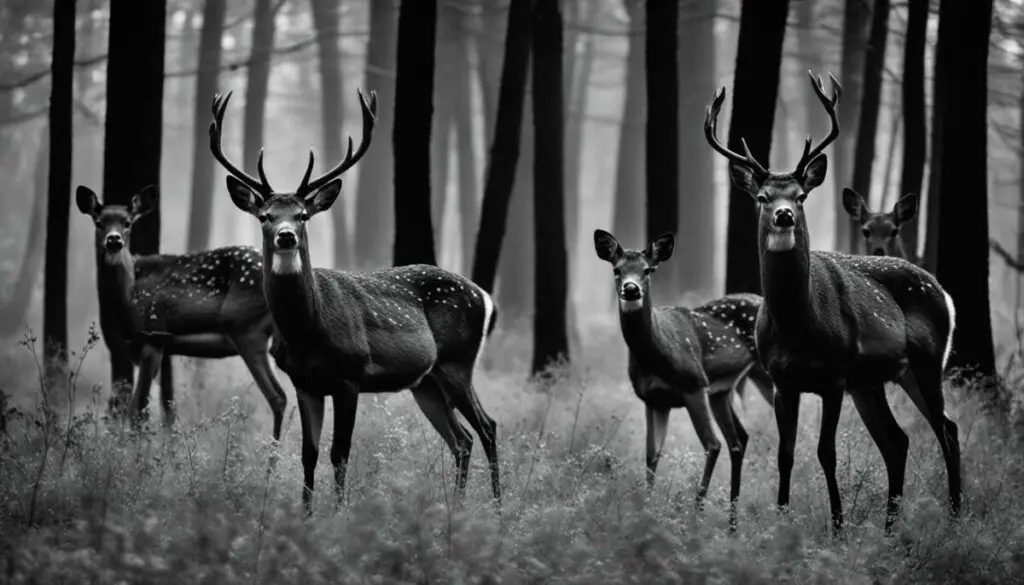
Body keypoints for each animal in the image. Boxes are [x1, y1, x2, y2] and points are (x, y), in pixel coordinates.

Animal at [76, 185, 289, 441]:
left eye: (127, 222)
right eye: (99, 222)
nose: (114, 240)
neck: (129, 294)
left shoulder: (153, 336)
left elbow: (137, 408)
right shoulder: (149, 347)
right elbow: (161, 408)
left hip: (246, 328)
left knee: (277, 396)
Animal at [209, 88, 501, 514]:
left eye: (302, 215)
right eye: (265, 215)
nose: (285, 236)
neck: (307, 334)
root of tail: (484, 296)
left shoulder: (350, 376)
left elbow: (340, 453)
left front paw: (339, 514)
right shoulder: (304, 383)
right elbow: (309, 454)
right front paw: (306, 515)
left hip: (457, 363)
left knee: (488, 427)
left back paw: (497, 508)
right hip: (426, 381)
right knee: (462, 439)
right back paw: (458, 508)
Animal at [593, 229, 775, 531]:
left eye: (648, 270)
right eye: (616, 270)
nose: (631, 289)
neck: (655, 357)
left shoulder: (694, 386)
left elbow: (712, 445)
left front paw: (694, 518)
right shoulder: (654, 400)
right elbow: (652, 453)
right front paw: (645, 514)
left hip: (762, 376)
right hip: (723, 390)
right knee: (739, 439)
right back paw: (732, 525)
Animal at [703, 71, 962, 537]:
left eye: (801, 195)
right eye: (763, 197)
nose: (785, 214)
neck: (797, 326)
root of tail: (943, 293)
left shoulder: (835, 376)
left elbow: (827, 452)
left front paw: (838, 526)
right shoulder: (783, 380)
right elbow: (786, 453)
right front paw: (781, 519)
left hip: (927, 360)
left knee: (945, 429)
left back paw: (953, 519)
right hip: (875, 380)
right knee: (901, 439)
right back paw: (890, 529)